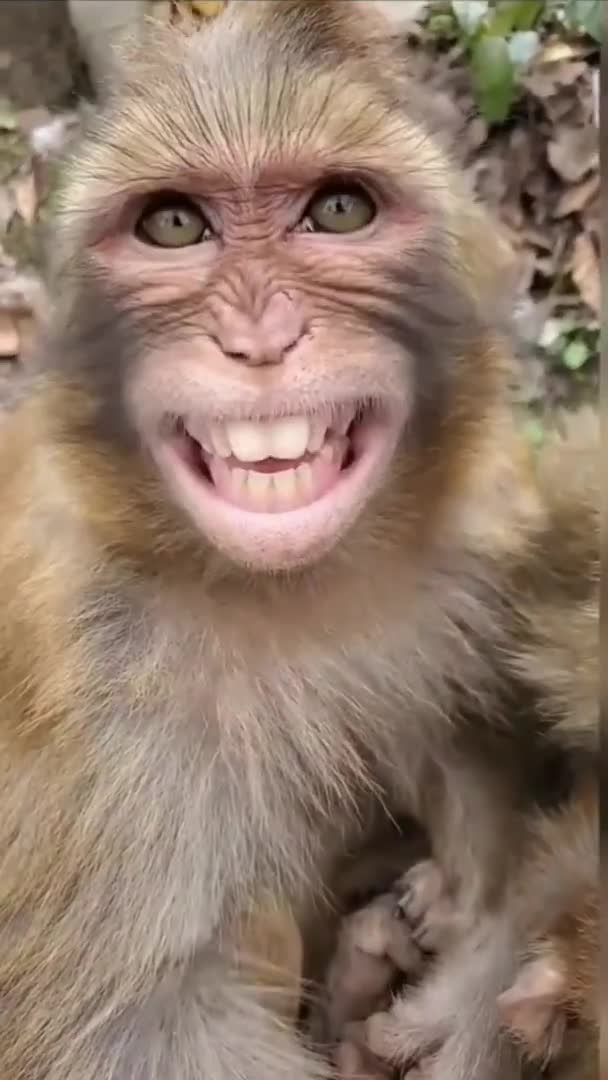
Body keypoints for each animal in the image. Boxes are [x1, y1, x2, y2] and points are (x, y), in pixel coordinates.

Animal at [0, 3, 598, 1079]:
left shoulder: (487, 541)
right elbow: (134, 1027)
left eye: (339, 211)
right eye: (174, 225)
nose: (261, 337)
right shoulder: (91, 674)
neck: (286, 591)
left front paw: (481, 955)